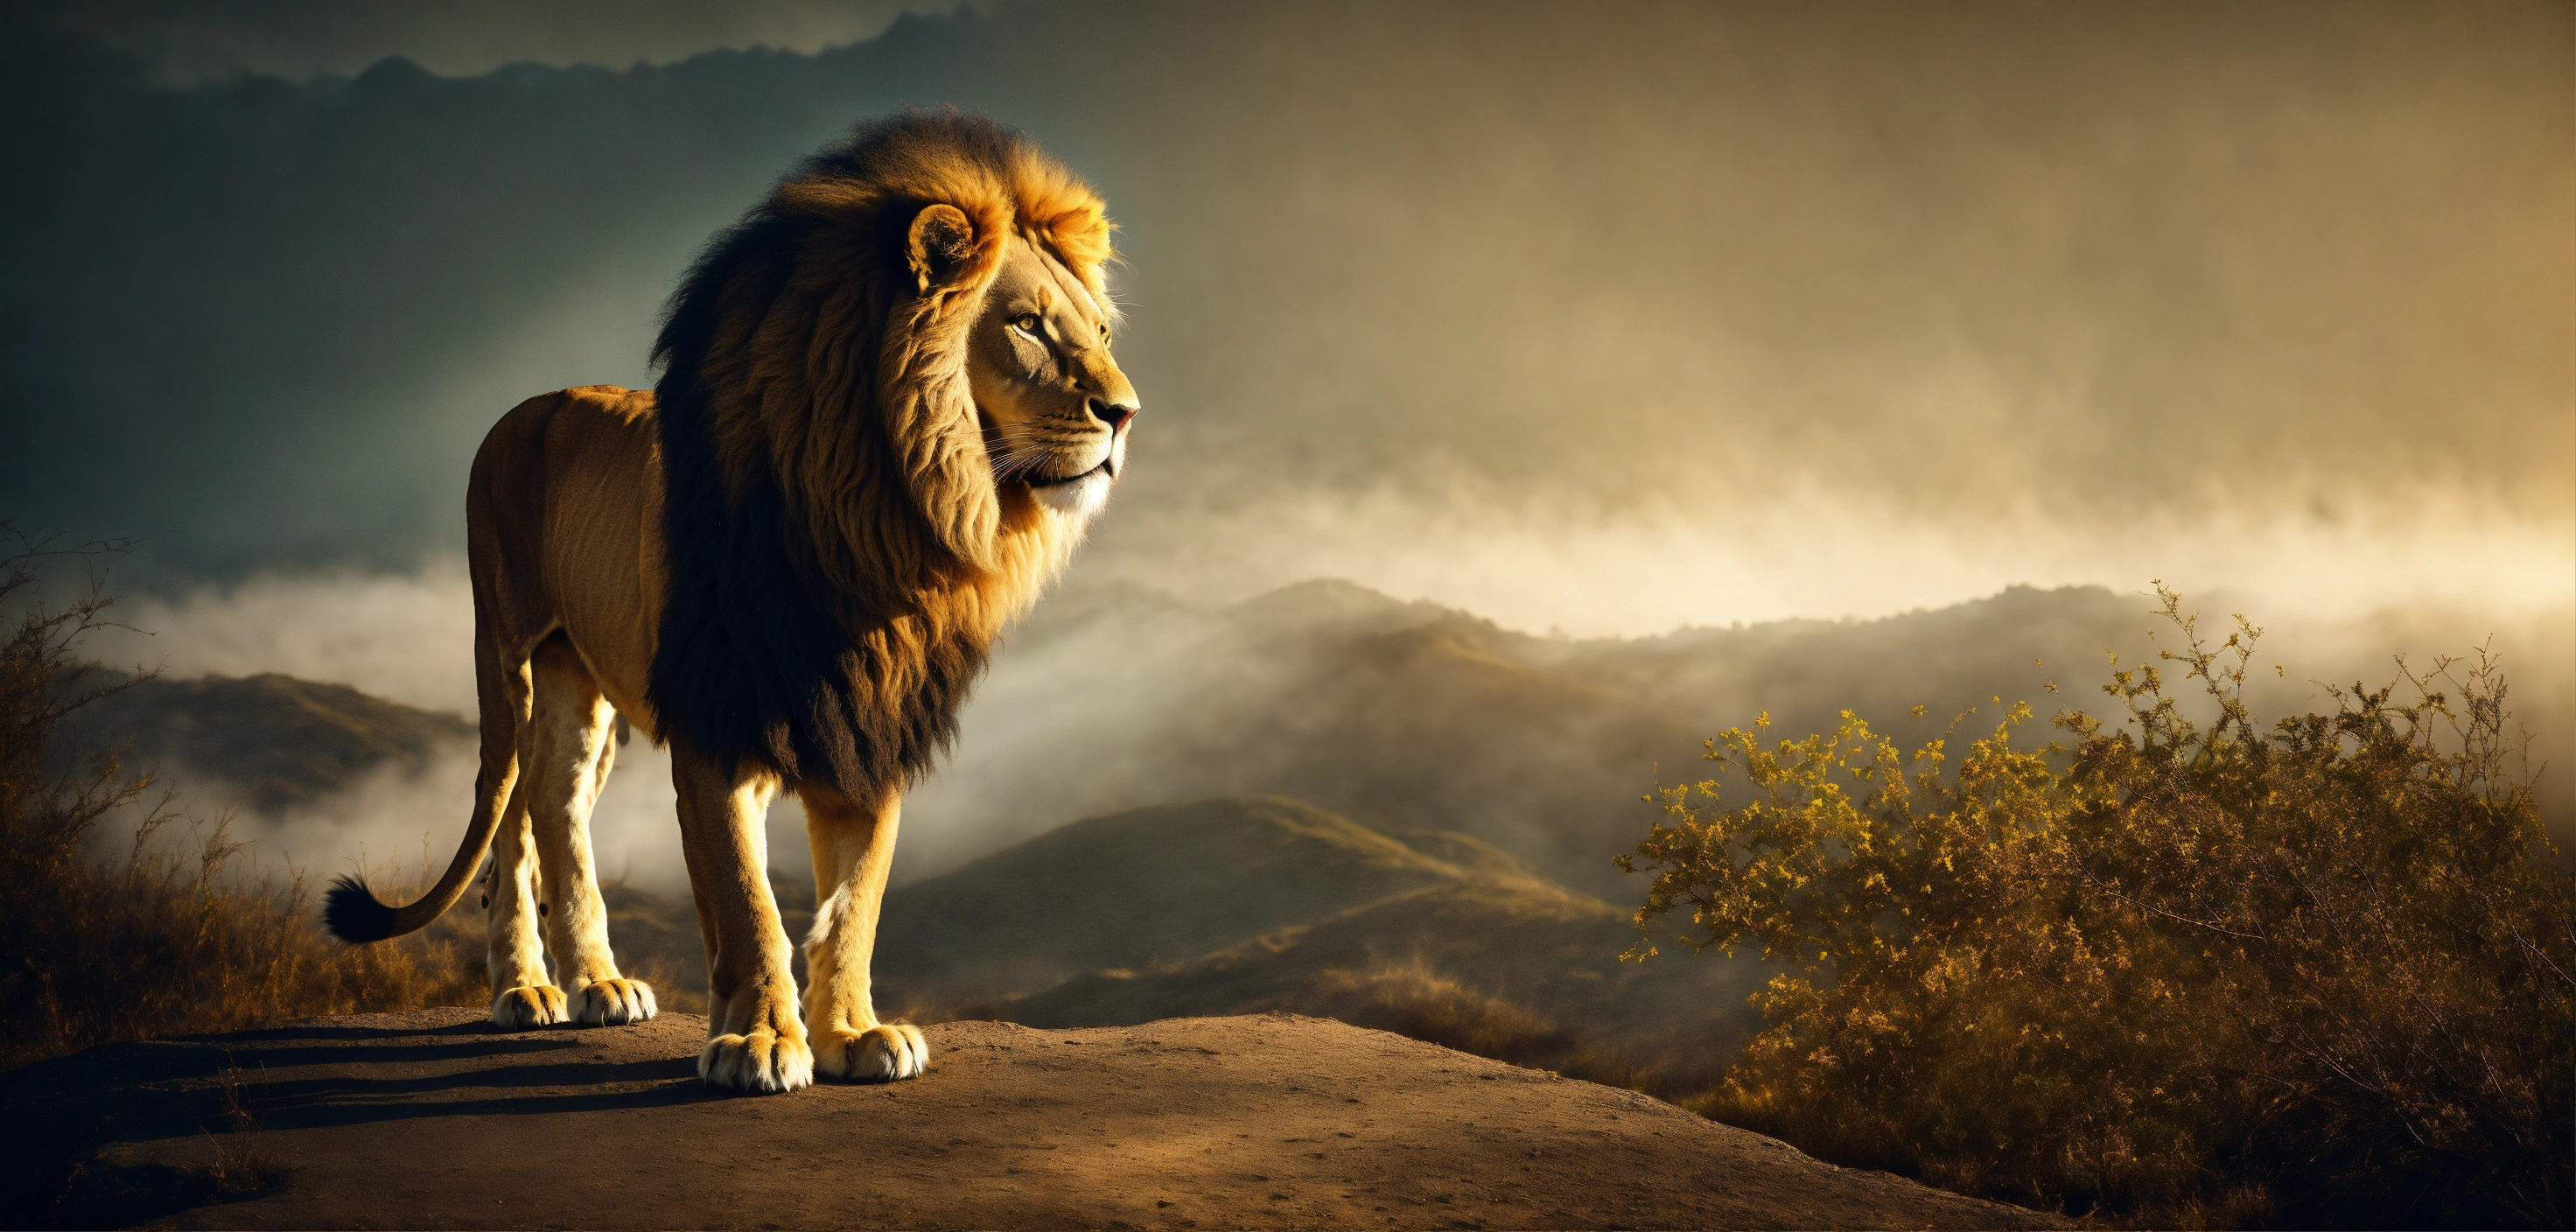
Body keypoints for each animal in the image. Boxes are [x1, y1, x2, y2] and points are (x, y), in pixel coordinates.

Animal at [323, 110, 1139, 1094]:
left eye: (1102, 329)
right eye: (1025, 326)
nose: (1125, 412)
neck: (881, 520)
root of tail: (524, 406)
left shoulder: (869, 722)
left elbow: (854, 904)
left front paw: (853, 1033)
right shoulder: (716, 721)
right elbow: (748, 902)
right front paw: (757, 1040)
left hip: (582, 685)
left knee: (556, 809)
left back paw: (597, 982)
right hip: (506, 655)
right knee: (511, 823)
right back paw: (527, 989)